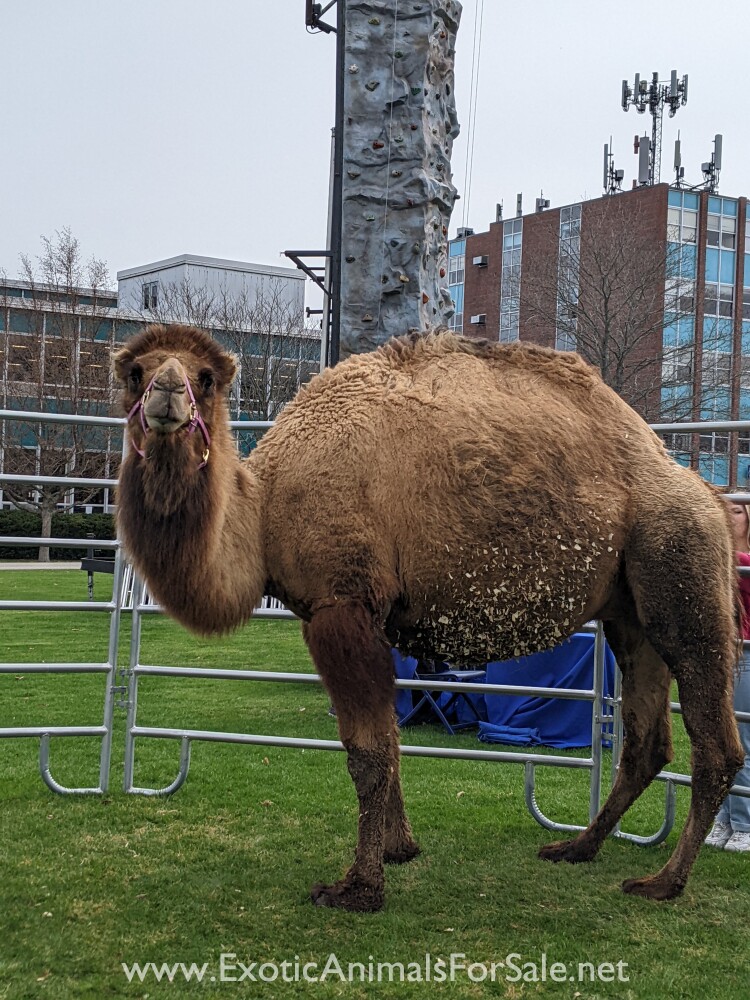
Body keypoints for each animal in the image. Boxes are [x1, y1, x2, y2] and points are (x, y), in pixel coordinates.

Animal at [114, 323, 744, 911]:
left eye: (205, 378)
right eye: (134, 373)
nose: (167, 391)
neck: (264, 510)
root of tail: (707, 493)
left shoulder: (340, 605)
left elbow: (366, 754)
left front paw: (359, 887)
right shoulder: (370, 618)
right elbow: (390, 740)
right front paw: (400, 848)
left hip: (682, 569)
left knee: (716, 742)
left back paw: (664, 881)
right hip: (631, 614)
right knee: (646, 742)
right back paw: (577, 847)